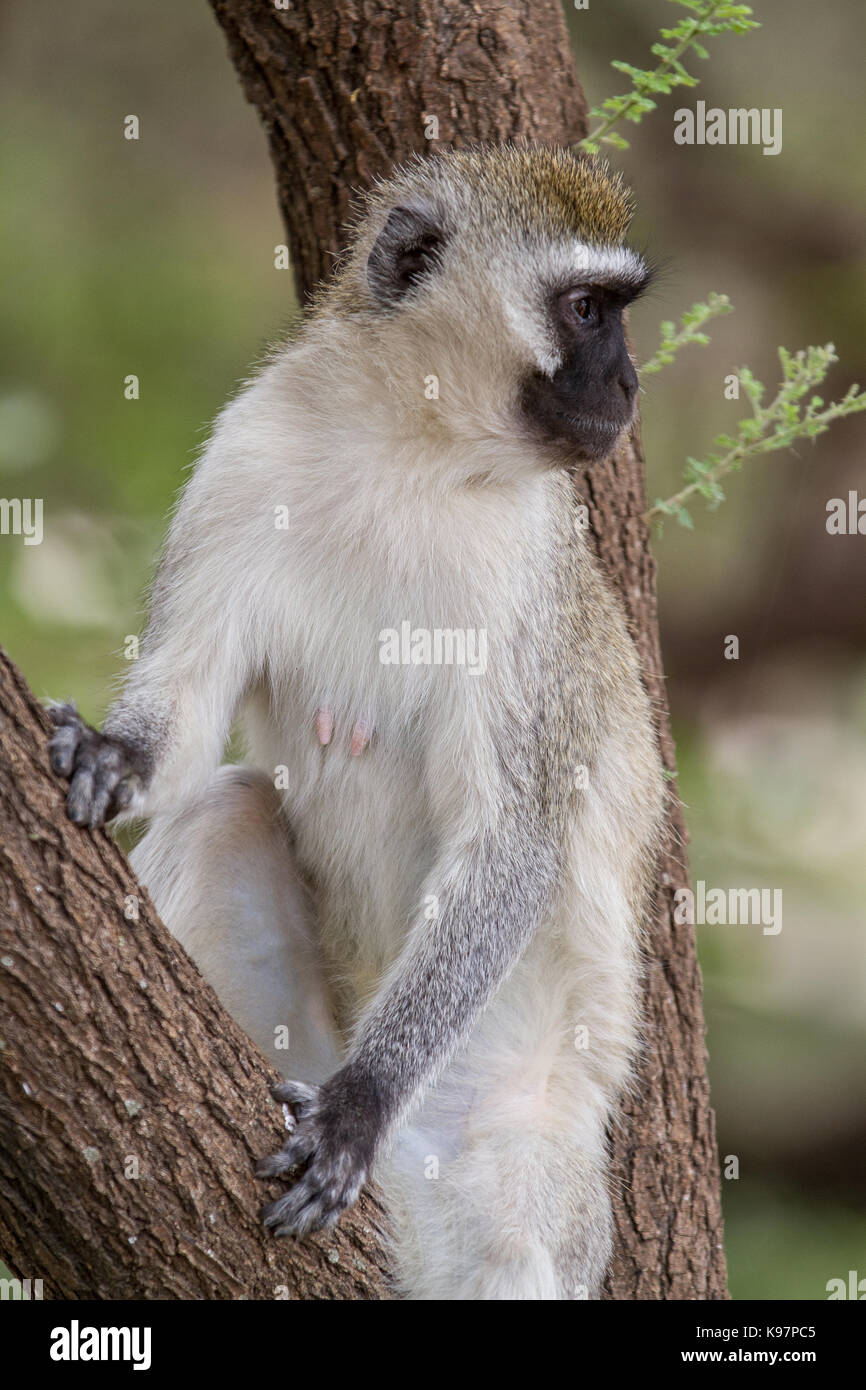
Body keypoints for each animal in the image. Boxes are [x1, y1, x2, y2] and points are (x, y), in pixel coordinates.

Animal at [49, 144, 665, 1300]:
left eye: (614, 311)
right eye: (583, 309)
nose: (629, 384)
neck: (411, 443)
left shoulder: (534, 575)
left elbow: (513, 839)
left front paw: (361, 1103)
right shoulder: (246, 452)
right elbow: (187, 713)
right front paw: (119, 754)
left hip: (522, 1147)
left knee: (518, 1228)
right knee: (225, 809)